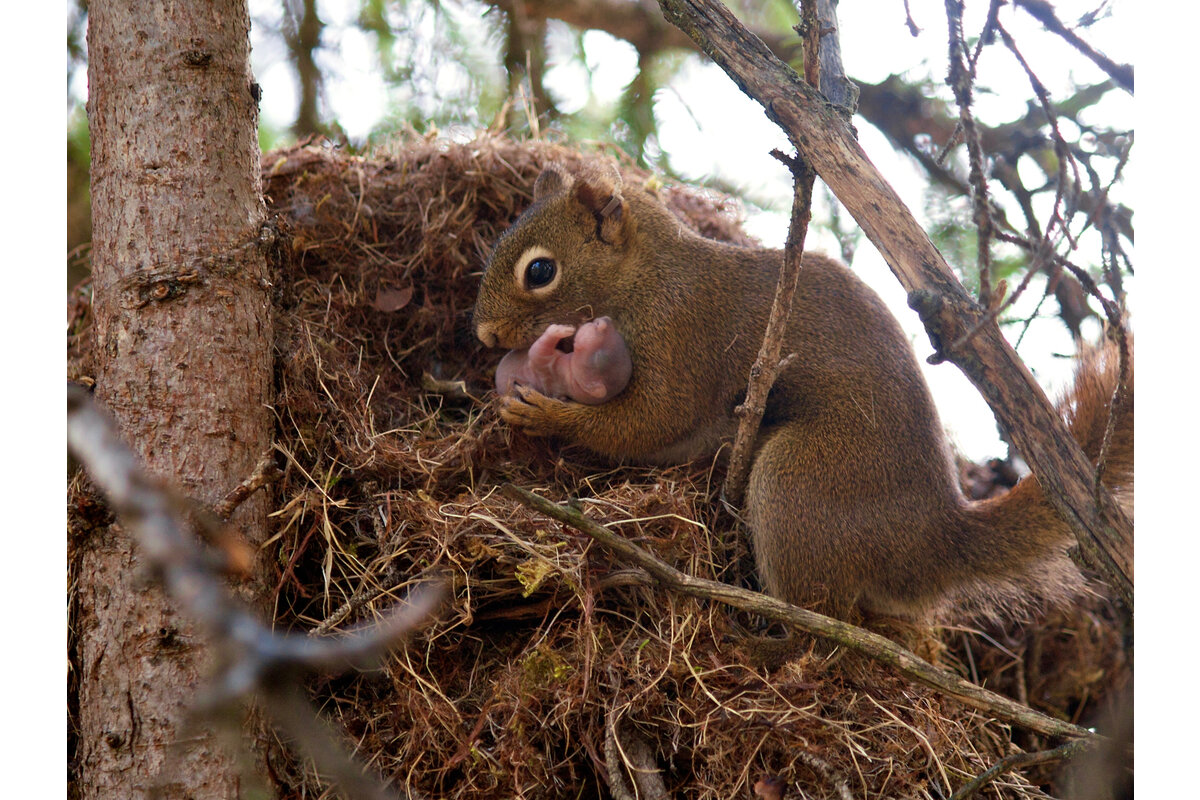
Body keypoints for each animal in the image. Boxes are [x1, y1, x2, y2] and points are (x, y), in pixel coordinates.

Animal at [470, 163, 1132, 623]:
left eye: (540, 271)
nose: (484, 335)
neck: (648, 276)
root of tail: (936, 540)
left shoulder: (683, 336)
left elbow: (649, 422)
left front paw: (545, 413)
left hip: (800, 482)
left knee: (824, 622)